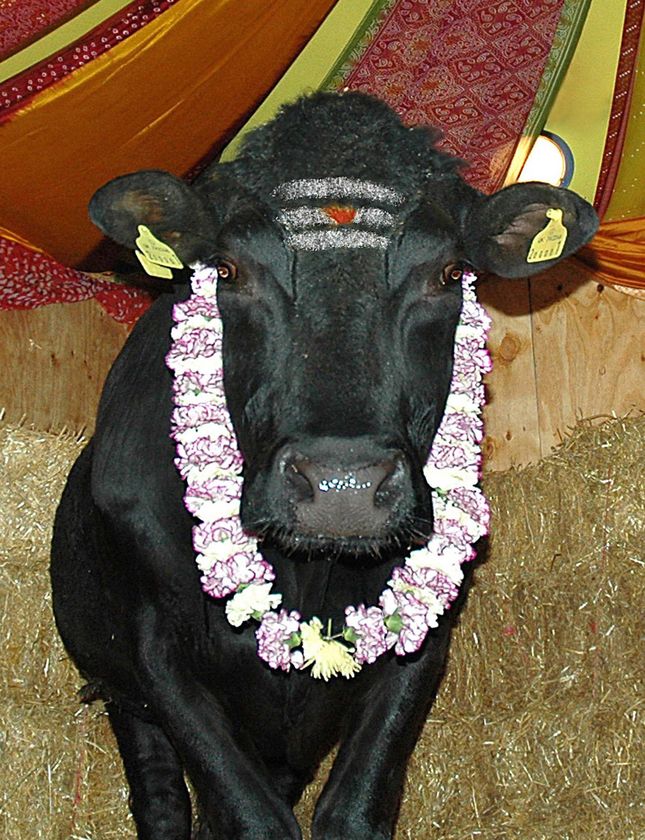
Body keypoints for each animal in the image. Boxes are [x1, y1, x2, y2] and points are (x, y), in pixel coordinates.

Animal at [51, 91, 598, 839]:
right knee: (158, 790)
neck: (309, 574)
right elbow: (249, 814)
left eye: (446, 274)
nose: (343, 486)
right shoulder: (155, 649)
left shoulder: (425, 641)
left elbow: (355, 807)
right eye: (229, 270)